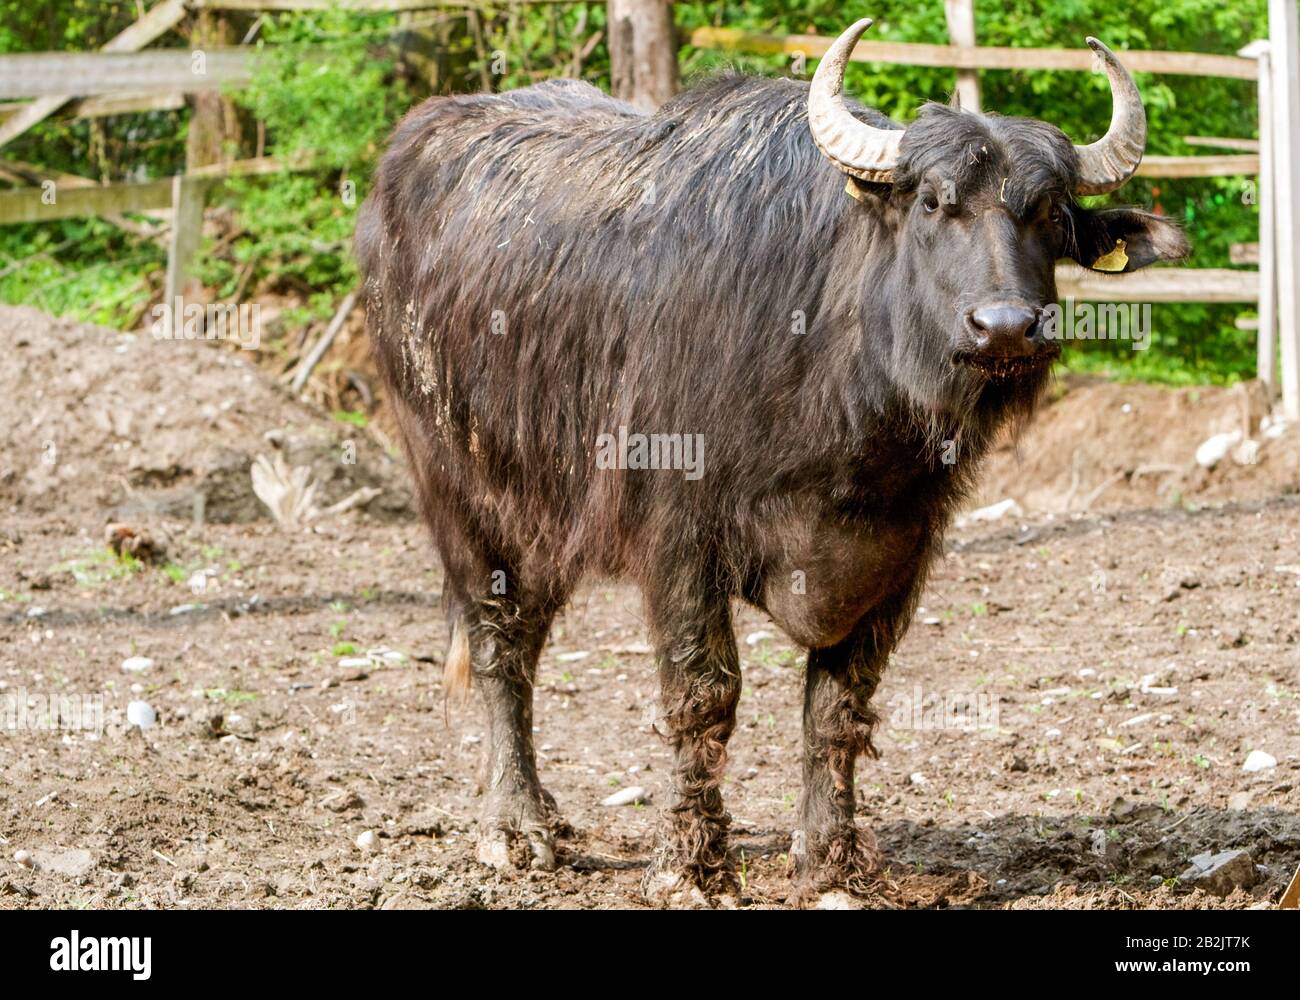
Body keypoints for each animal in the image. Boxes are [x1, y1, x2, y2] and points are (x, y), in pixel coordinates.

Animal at [356, 18, 1188, 907]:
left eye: (1052, 215)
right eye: (935, 202)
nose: (1004, 327)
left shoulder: (901, 553)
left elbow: (838, 709)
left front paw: (832, 860)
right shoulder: (677, 539)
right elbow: (703, 696)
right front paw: (691, 865)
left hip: (547, 516)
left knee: (529, 637)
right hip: (459, 491)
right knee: (498, 644)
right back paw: (516, 829)